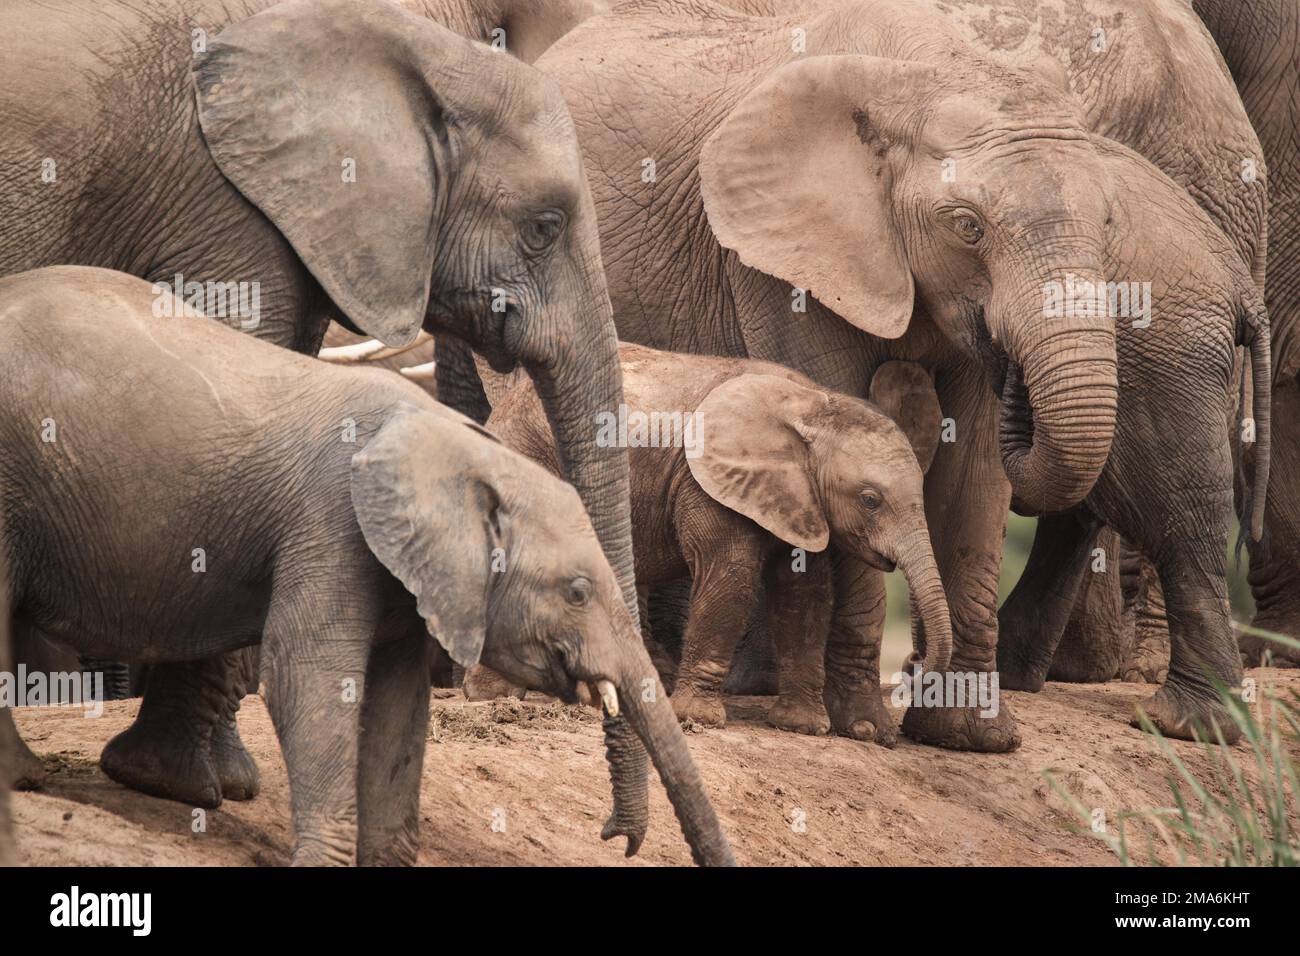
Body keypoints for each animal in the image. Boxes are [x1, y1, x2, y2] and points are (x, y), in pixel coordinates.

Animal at [0, 0, 651, 838]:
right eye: (542, 227)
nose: (614, 834)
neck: (407, 43)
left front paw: (218, 780)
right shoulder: (226, 201)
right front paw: (174, 783)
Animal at [0, 266, 734, 867]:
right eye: (577, 592)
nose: (617, 839)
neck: (460, 448)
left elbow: (395, 711)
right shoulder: (330, 523)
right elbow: (308, 677)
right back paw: (25, 779)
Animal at [470, 345, 951, 741]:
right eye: (870, 500)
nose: (912, 668)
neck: (813, 405)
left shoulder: (799, 499)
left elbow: (803, 592)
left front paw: (802, 726)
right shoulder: (705, 483)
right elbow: (730, 576)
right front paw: (695, 718)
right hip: (526, 456)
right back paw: (494, 697)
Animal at [538, 0, 1267, 747]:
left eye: (1110, 222)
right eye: (967, 227)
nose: (1016, 374)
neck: (928, 75)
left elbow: (974, 466)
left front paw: (969, 737)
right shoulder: (781, 261)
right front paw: (865, 727)